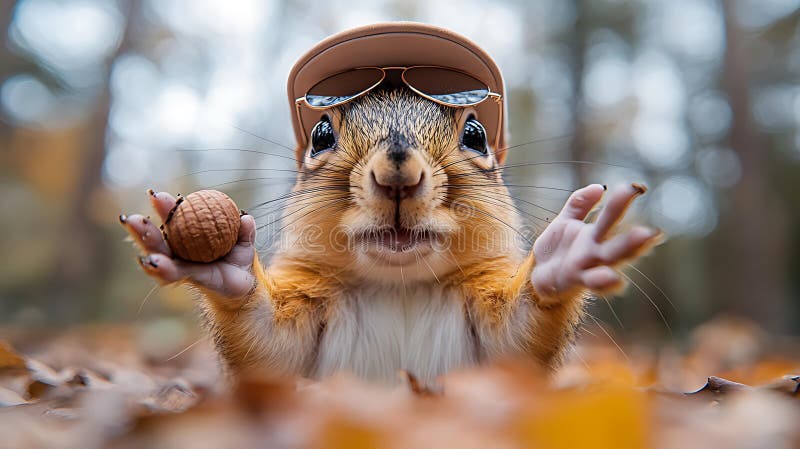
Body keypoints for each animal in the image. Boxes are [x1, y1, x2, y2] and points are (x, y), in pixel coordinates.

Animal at [119, 28, 661, 386]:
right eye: (320, 135)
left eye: (475, 134)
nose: (397, 172)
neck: (399, 285)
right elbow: (270, 352)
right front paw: (227, 270)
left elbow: (516, 346)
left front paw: (567, 254)